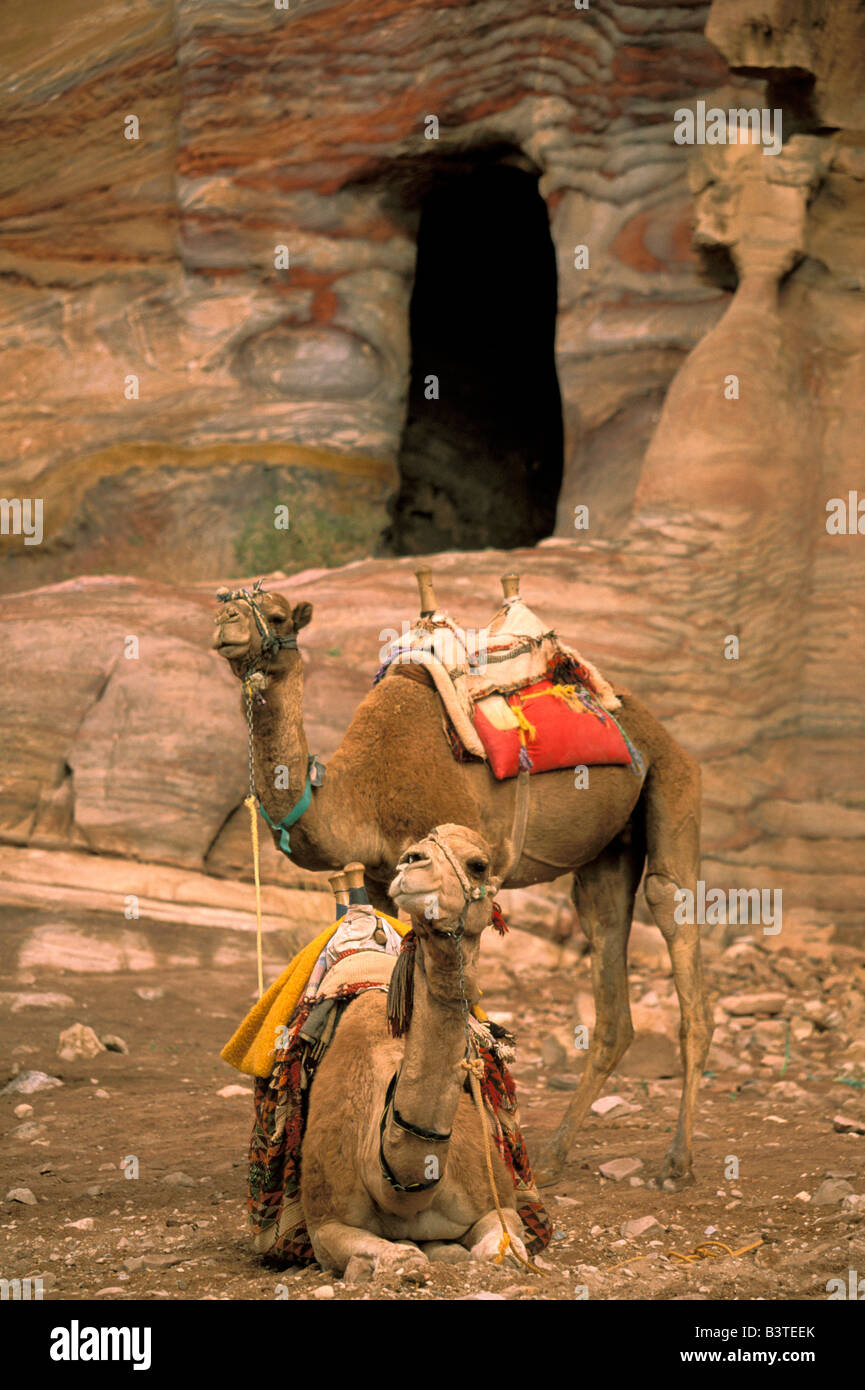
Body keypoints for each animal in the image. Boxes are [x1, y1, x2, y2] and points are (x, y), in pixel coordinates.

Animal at [212, 576, 713, 1188]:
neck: (361, 791)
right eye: (223, 604)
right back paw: (553, 1156)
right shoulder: (381, 876)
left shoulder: (462, 867)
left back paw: (678, 1159)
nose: (230, 622)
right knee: (608, 946)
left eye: (280, 615)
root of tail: (645, 722)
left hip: (672, 783)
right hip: (607, 852)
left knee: (672, 908)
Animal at [300, 824, 530, 1277]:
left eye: (479, 865)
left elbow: (500, 1250)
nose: (412, 863)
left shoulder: (498, 1204)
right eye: (413, 848)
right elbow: (404, 1255)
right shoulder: (324, 1224)